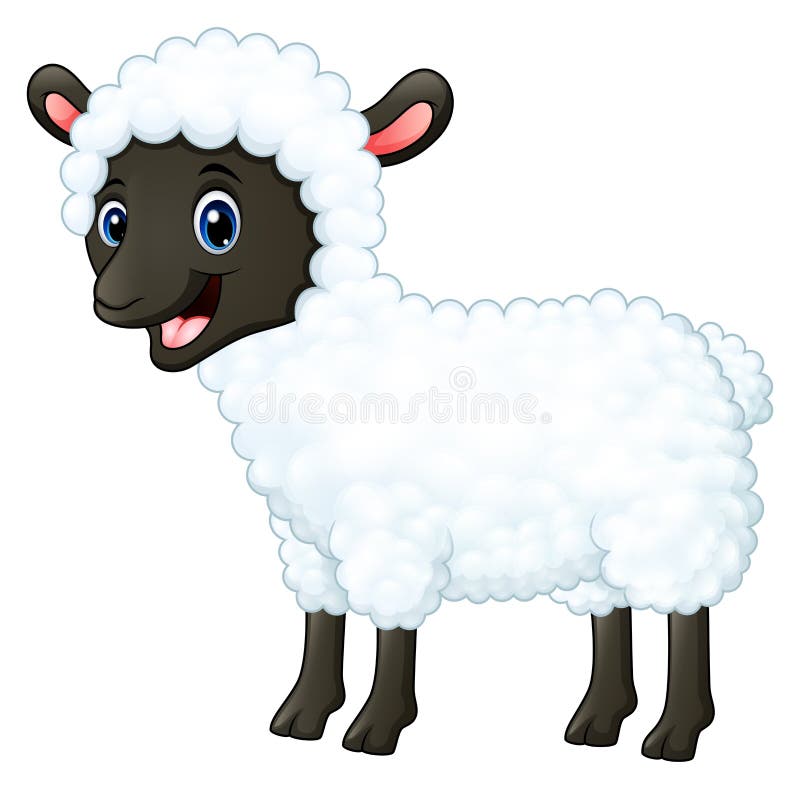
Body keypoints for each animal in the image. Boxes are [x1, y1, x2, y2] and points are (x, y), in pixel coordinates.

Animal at [26, 28, 773, 762]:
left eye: (218, 223)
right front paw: (301, 716)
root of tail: (712, 355)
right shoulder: (311, 536)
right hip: (598, 531)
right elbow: (321, 619)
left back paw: (676, 733)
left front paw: (375, 729)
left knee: (686, 610)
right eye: (113, 219)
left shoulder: (387, 525)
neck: (331, 343)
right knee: (612, 611)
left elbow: (391, 627)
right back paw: (597, 721)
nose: (114, 301)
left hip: (676, 512)